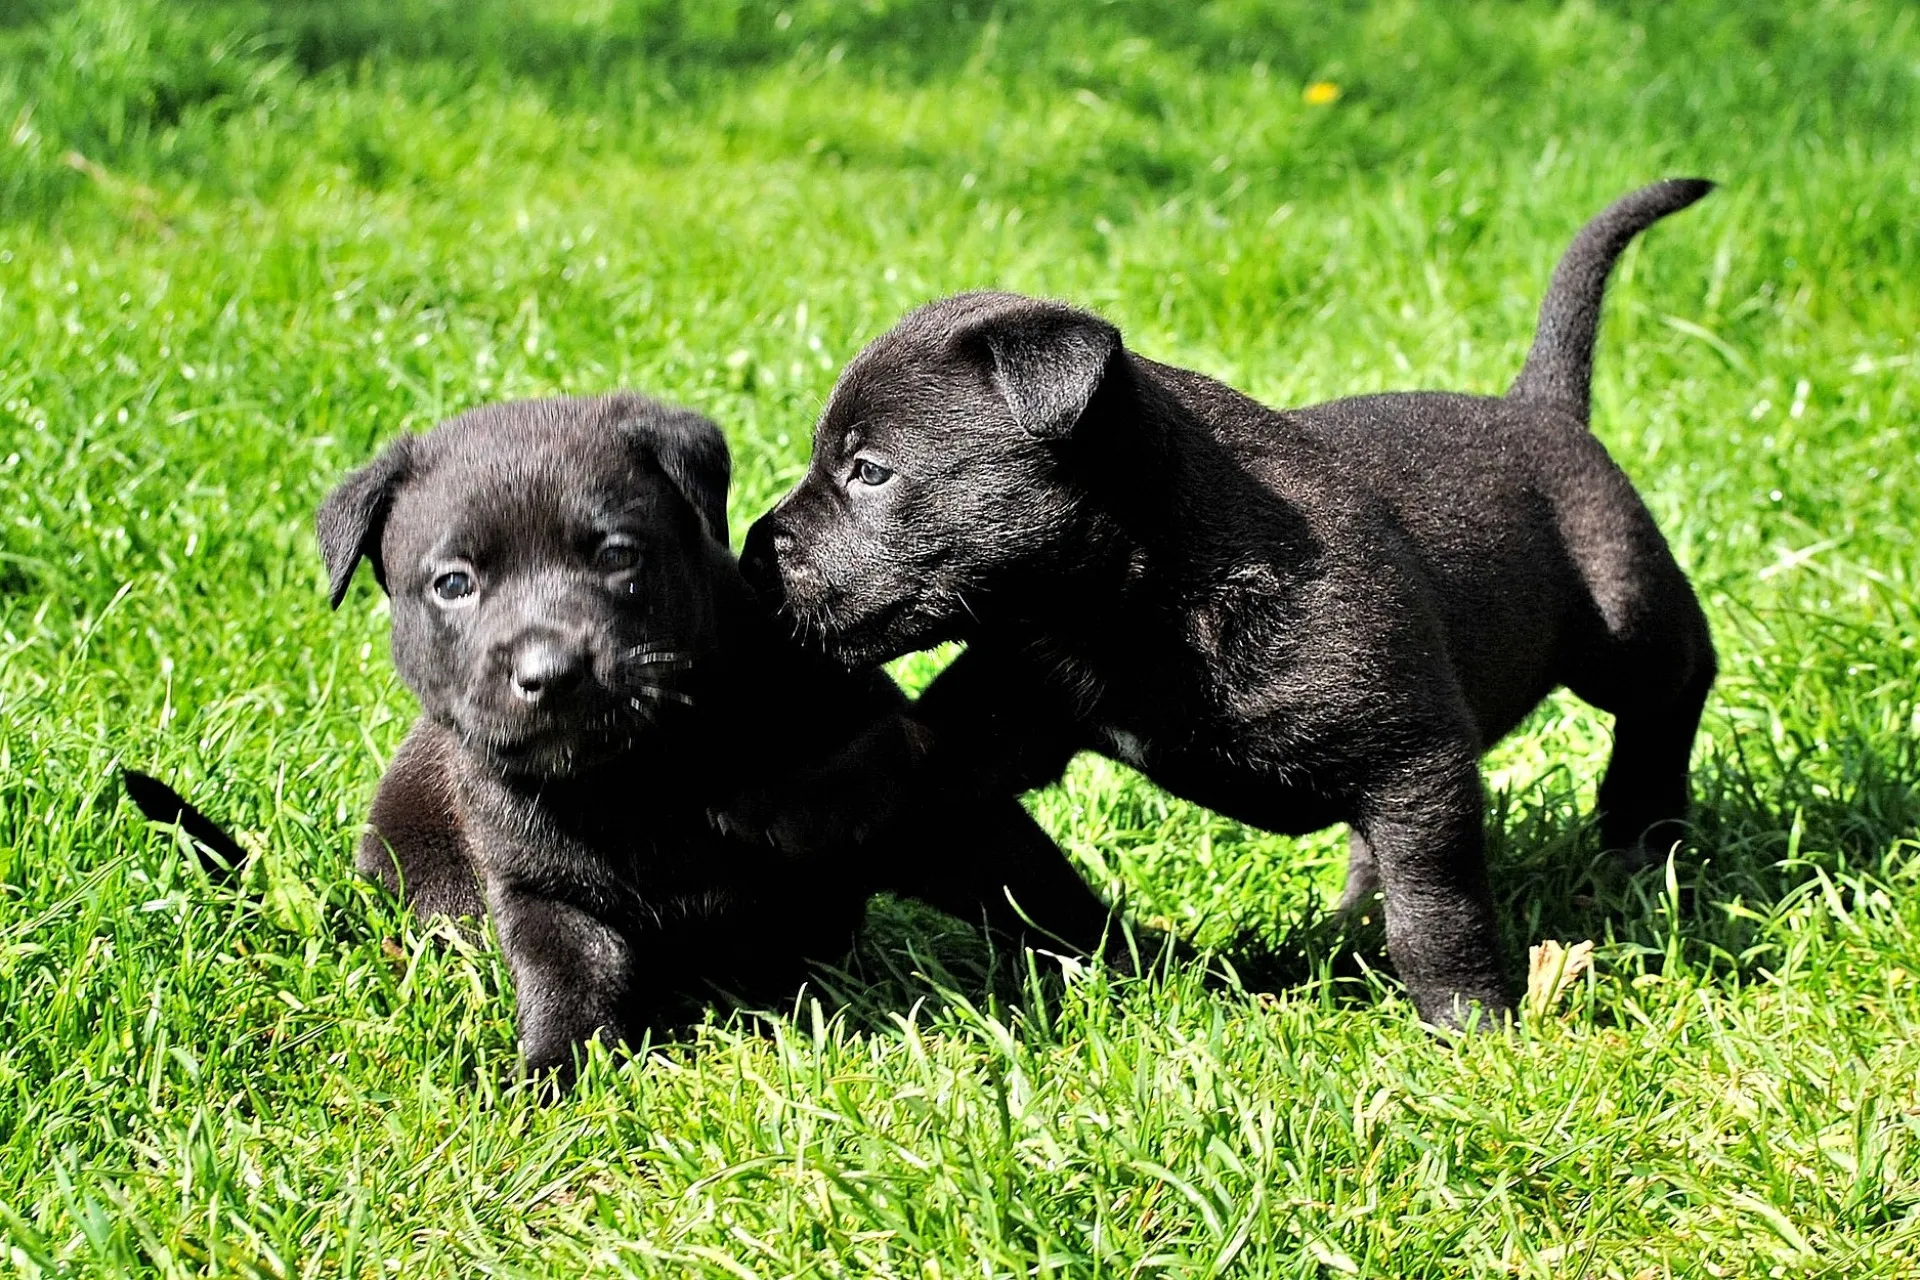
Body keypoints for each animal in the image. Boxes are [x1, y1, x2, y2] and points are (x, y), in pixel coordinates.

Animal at [309, 393, 1121, 1082]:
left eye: (618, 555)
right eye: (453, 584)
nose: (552, 671)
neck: (641, 769)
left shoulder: (902, 793)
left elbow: (1036, 888)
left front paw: (1142, 967)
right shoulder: (538, 886)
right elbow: (567, 979)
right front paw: (550, 1078)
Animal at [741, 180, 1720, 1028]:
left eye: (870, 470)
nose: (755, 548)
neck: (1131, 607)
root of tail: (1542, 407)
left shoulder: (1416, 760)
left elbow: (1436, 910)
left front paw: (1470, 1022)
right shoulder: (1006, 705)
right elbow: (895, 755)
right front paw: (782, 817)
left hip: (1624, 616)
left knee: (1674, 689)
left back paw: (1643, 835)